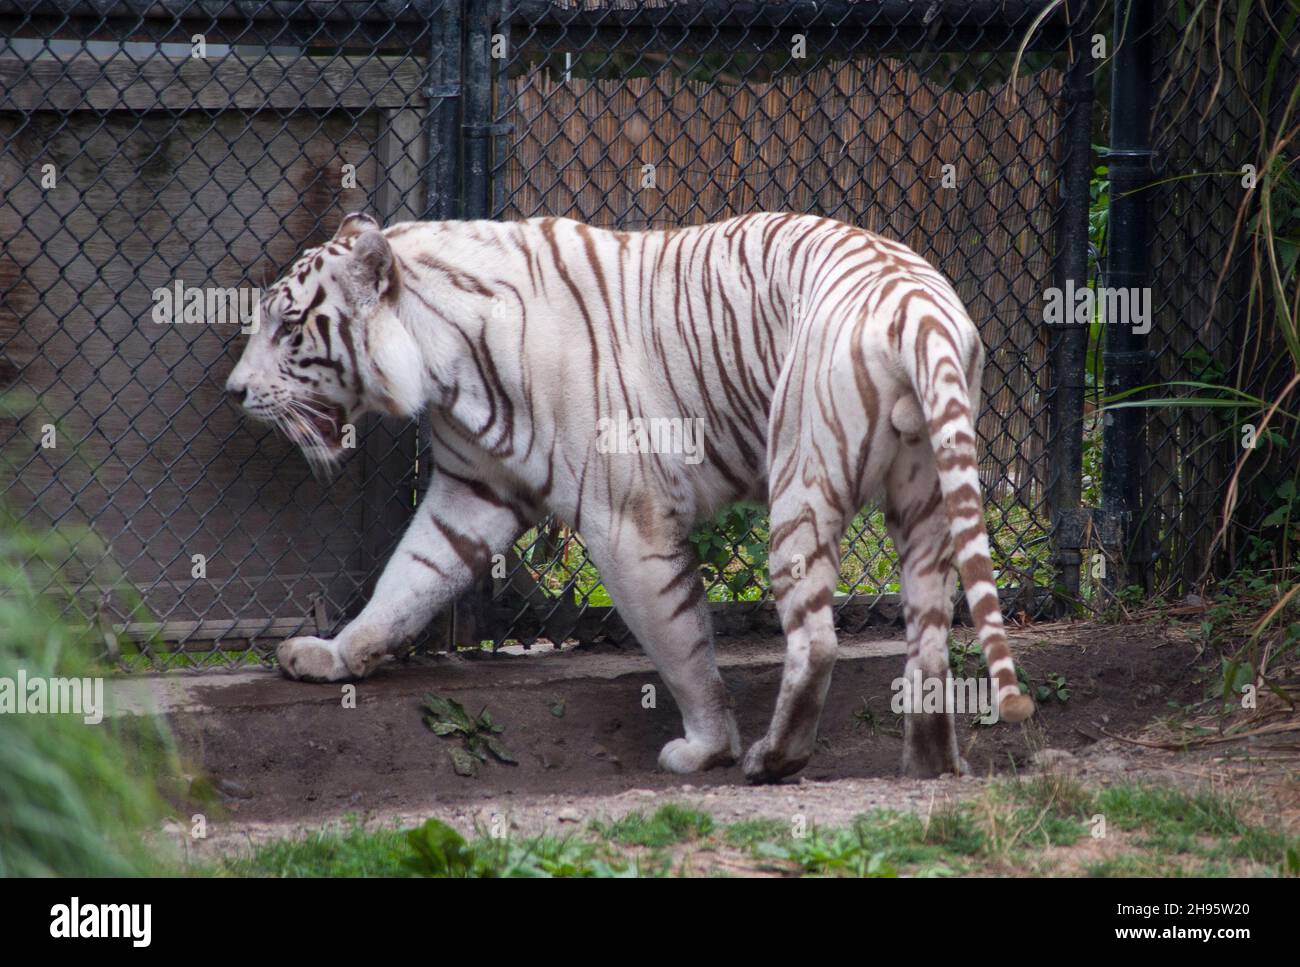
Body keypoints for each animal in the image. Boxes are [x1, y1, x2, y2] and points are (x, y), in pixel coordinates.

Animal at [225, 210, 1034, 782]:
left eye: (289, 326)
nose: (233, 391)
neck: (444, 361)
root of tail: (919, 304)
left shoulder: (626, 522)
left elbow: (682, 645)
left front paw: (705, 748)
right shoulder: (473, 491)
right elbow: (408, 581)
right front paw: (334, 655)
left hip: (802, 479)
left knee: (818, 639)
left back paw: (769, 760)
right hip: (926, 500)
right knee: (929, 643)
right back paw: (930, 765)